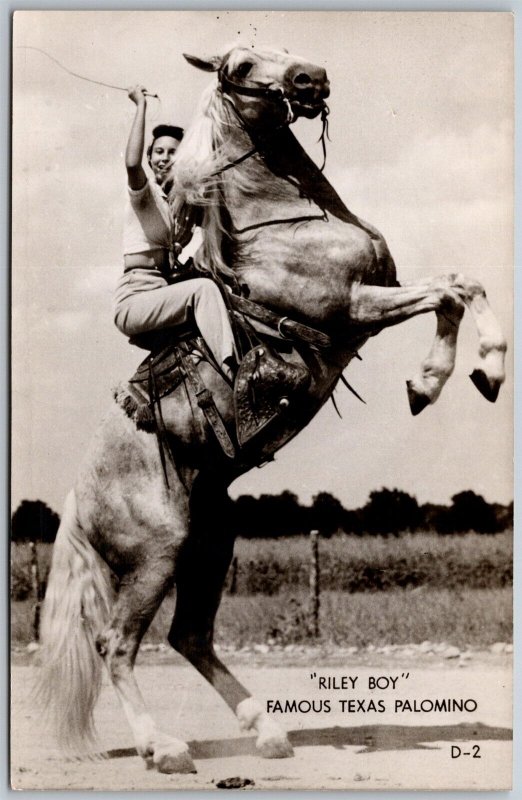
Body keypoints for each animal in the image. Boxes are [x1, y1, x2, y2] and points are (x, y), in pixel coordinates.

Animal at [36, 45, 506, 775]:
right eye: (238, 64)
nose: (312, 79)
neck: (287, 223)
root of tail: (77, 500)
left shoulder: (381, 296)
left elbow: (460, 288)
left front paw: (449, 378)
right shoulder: (355, 308)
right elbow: (453, 290)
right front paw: (458, 375)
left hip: (209, 545)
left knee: (190, 636)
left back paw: (266, 732)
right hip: (155, 556)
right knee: (116, 642)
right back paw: (163, 748)